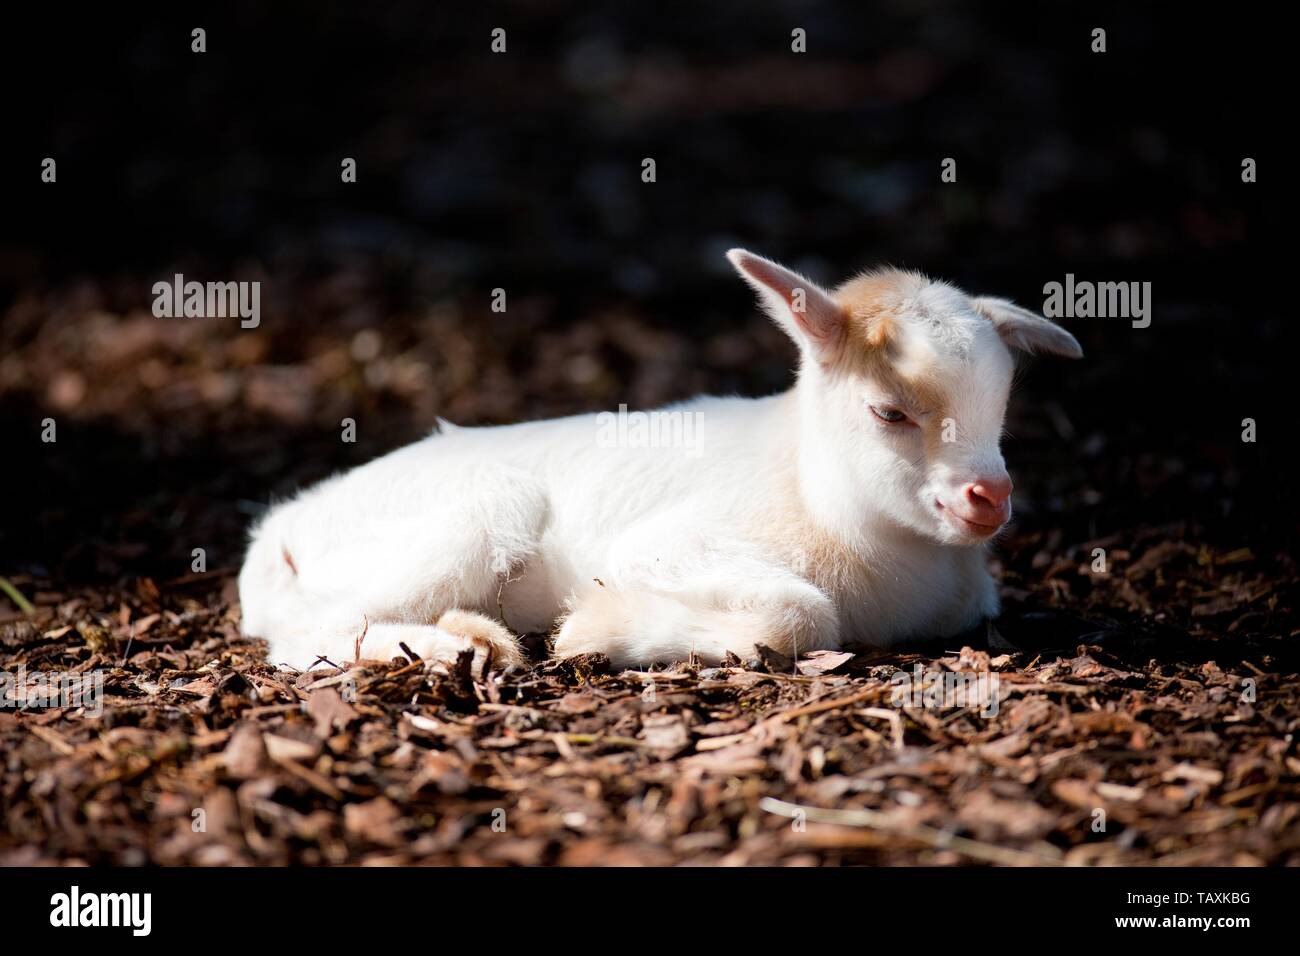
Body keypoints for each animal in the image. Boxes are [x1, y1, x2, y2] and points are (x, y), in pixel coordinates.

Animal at [238, 250, 1082, 671]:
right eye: (889, 412)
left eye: (1002, 404)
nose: (989, 499)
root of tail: (276, 532)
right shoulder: (661, 547)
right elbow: (803, 614)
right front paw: (595, 631)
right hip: (481, 514)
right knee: (304, 638)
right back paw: (459, 650)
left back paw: (473, 635)